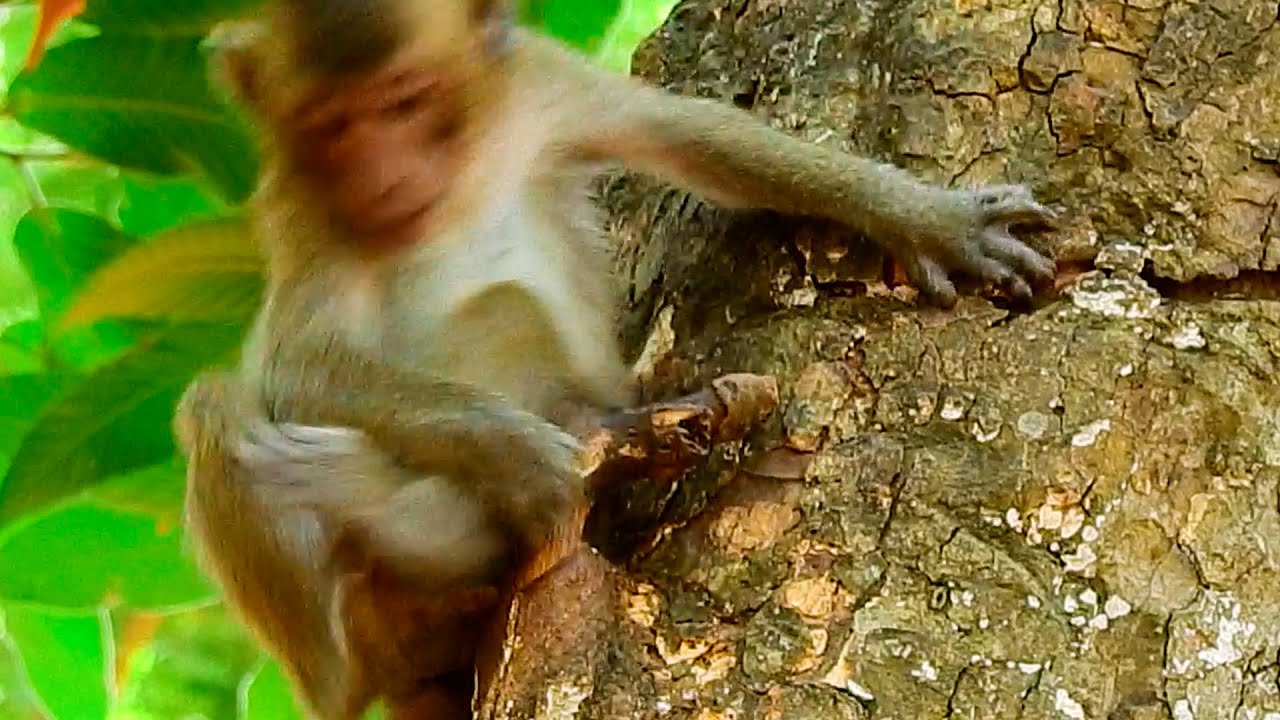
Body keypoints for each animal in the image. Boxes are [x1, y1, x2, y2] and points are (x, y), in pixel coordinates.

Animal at [177, 0, 1060, 717]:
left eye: (404, 100)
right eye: (331, 126)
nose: (378, 173)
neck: (455, 173)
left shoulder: (543, 85)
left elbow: (707, 142)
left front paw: (926, 219)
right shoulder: (299, 199)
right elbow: (298, 366)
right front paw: (515, 451)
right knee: (217, 407)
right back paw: (356, 670)